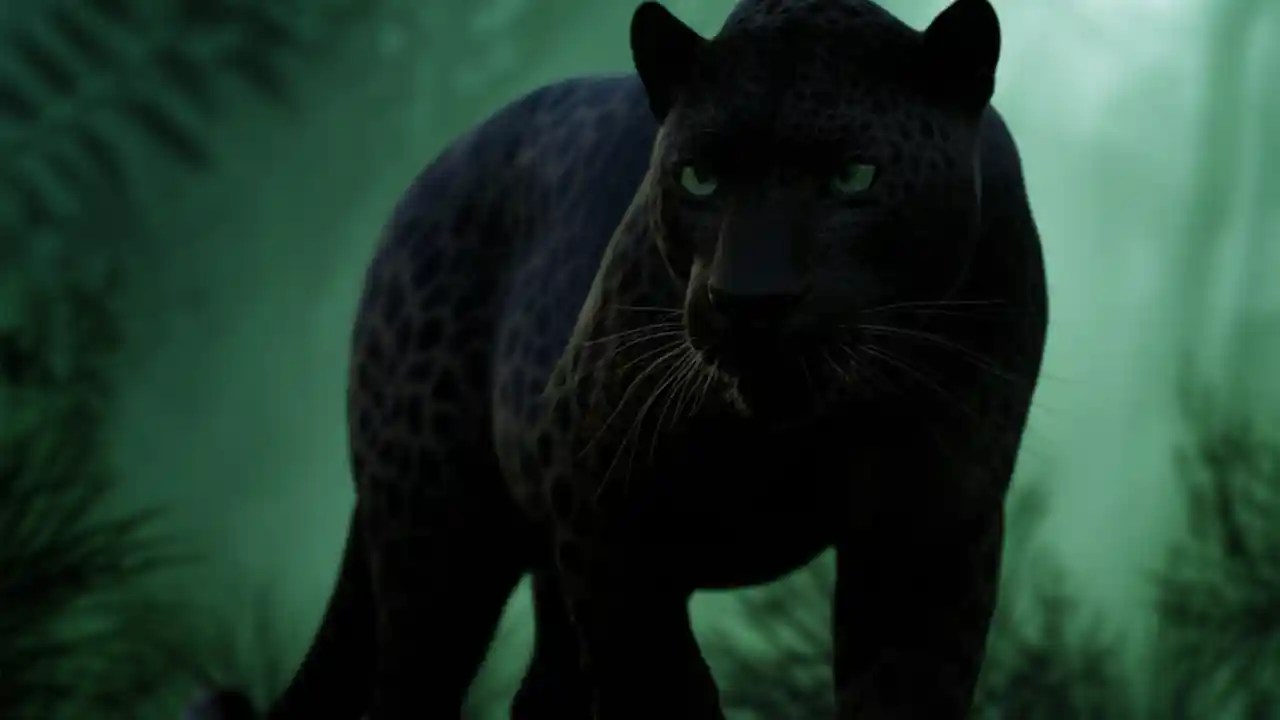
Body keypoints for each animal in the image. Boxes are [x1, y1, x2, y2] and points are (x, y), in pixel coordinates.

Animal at [205, 0, 1049, 718]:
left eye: (853, 176)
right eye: (698, 176)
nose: (749, 299)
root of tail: (424, 180)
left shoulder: (932, 530)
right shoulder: (601, 510)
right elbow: (657, 678)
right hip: (433, 523)